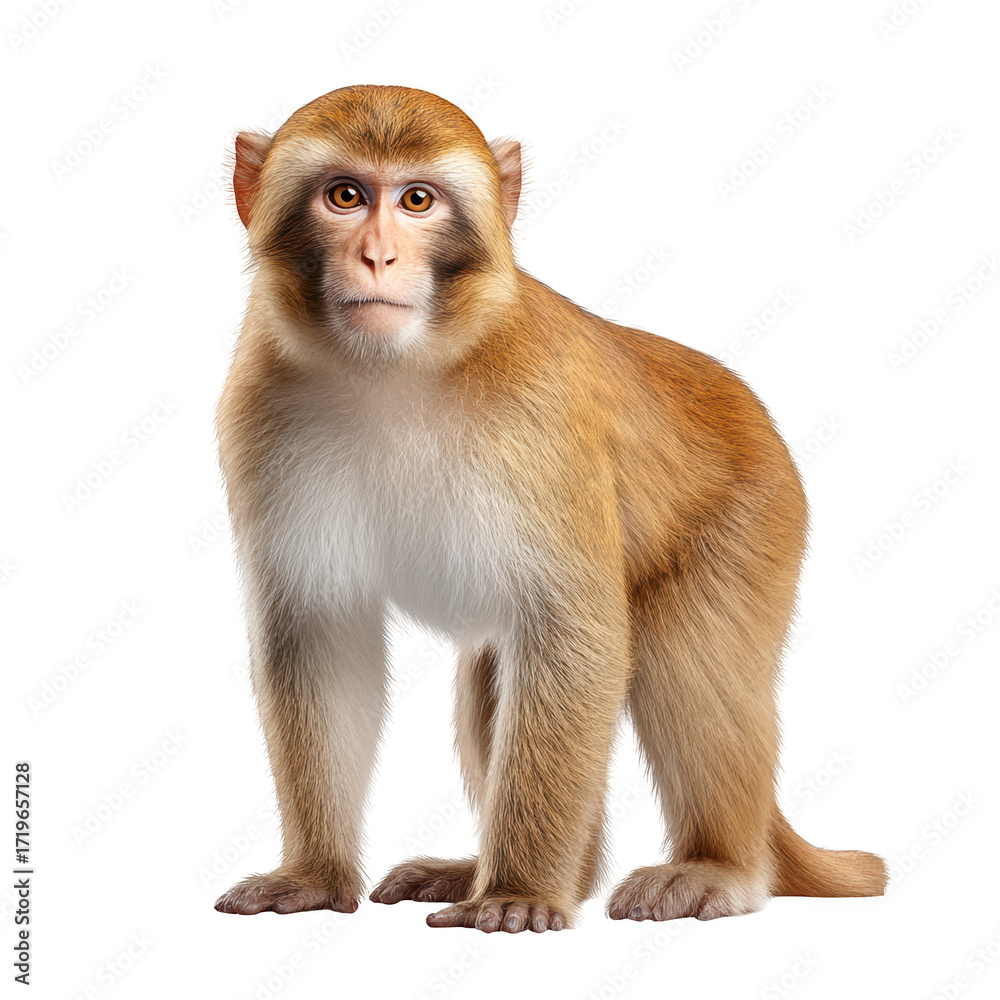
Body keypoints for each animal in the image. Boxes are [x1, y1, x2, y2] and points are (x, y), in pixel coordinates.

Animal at [212, 84, 886, 934]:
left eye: (417, 200)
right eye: (345, 196)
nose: (378, 256)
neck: (393, 371)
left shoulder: (537, 416)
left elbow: (575, 631)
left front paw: (519, 893)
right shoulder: (262, 409)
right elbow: (322, 636)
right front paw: (313, 875)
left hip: (758, 512)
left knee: (686, 660)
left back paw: (714, 867)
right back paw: (534, 870)